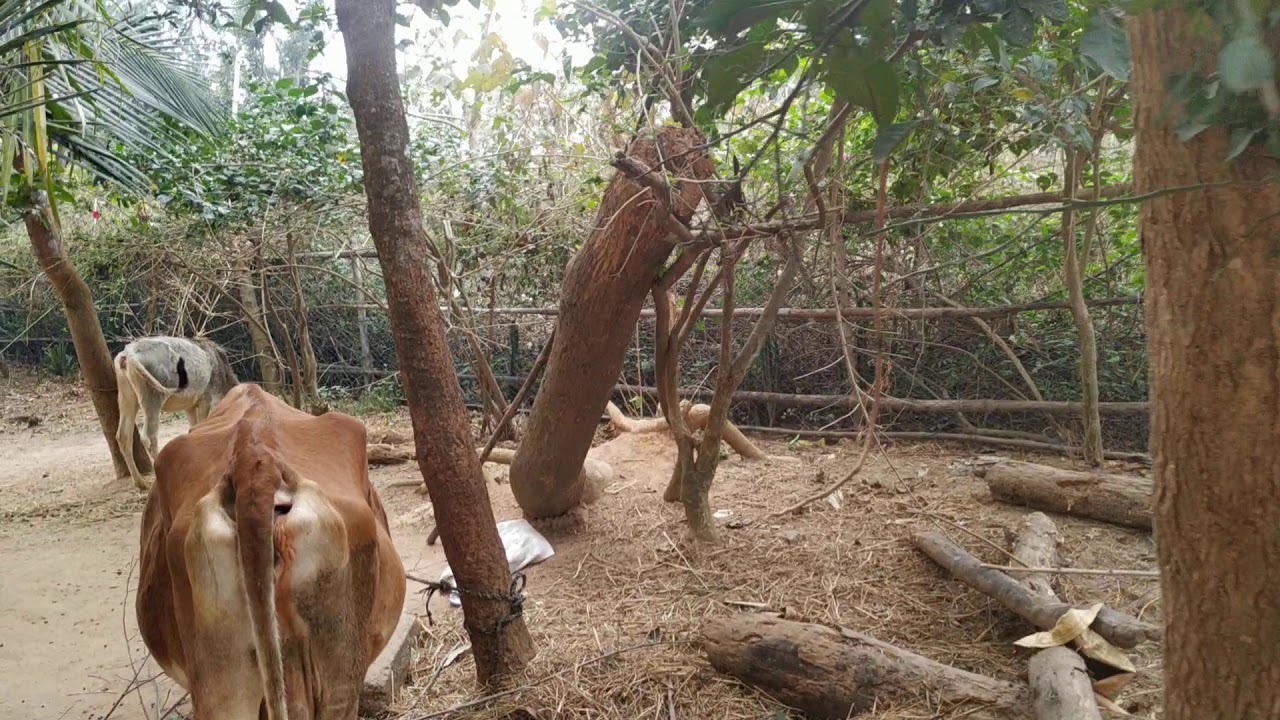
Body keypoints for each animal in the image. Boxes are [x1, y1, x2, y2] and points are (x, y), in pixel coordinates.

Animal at [114, 336, 238, 490]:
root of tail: (128, 352)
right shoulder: (206, 398)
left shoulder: (189, 405)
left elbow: (192, 429)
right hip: (152, 397)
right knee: (149, 437)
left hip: (126, 398)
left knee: (123, 435)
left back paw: (141, 483)